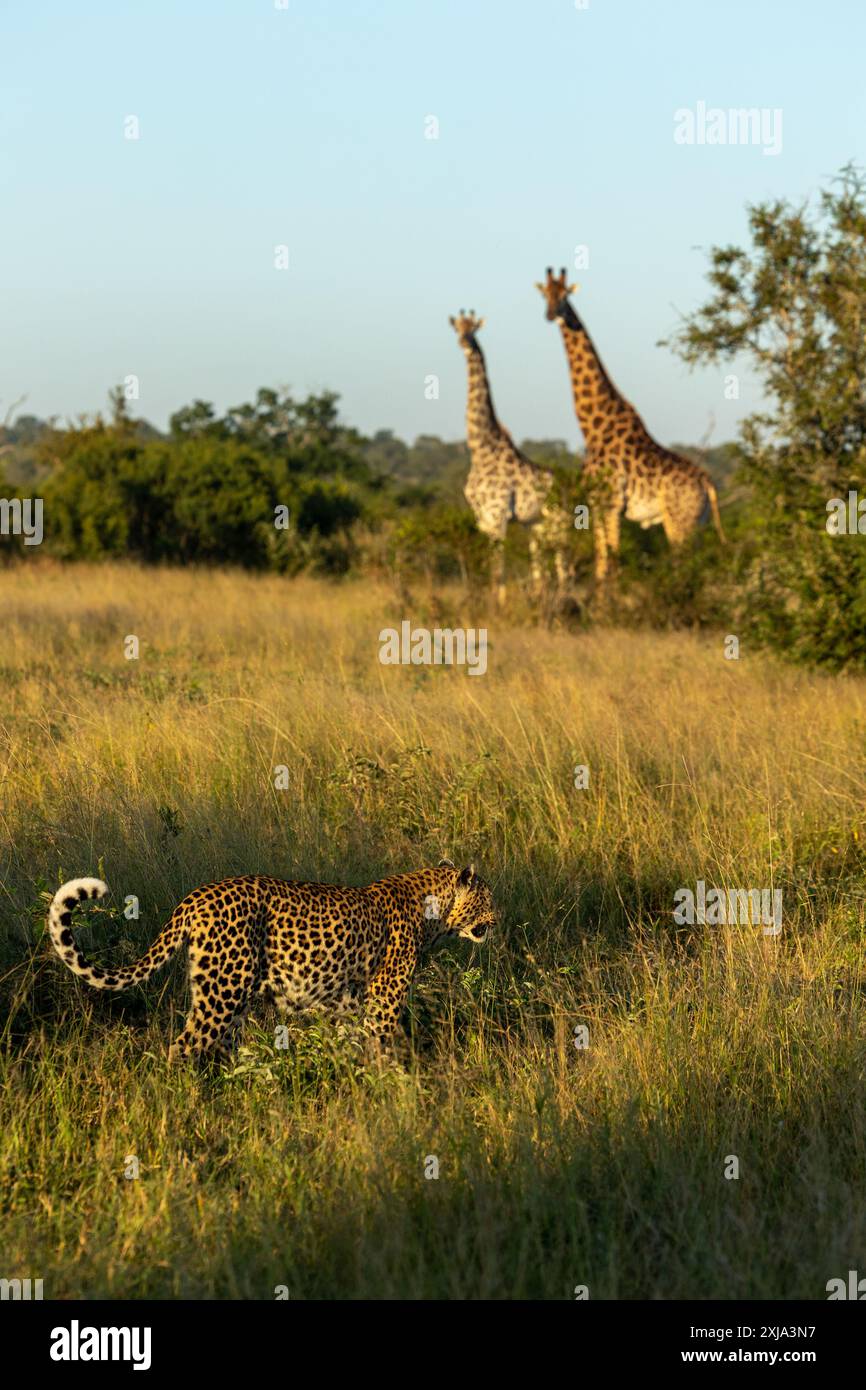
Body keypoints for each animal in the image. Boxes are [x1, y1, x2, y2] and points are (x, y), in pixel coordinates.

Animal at [47, 861, 497, 1062]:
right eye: (487, 899)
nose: (498, 919)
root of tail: (195, 897)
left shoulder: (351, 1008)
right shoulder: (383, 1003)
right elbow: (382, 1051)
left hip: (222, 992)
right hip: (223, 994)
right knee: (182, 1046)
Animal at [450, 310, 569, 604]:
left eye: (473, 329)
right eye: (457, 328)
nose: (464, 343)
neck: (481, 449)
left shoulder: (498, 513)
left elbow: (498, 566)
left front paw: (499, 604)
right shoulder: (481, 516)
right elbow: (491, 563)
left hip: (559, 524)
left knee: (563, 564)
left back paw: (566, 602)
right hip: (536, 525)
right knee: (542, 569)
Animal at [536, 268, 725, 581]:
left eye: (564, 295)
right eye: (545, 295)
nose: (551, 314)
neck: (592, 426)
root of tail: (707, 482)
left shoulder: (611, 504)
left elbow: (611, 564)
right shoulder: (596, 504)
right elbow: (602, 563)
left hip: (679, 522)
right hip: (697, 521)